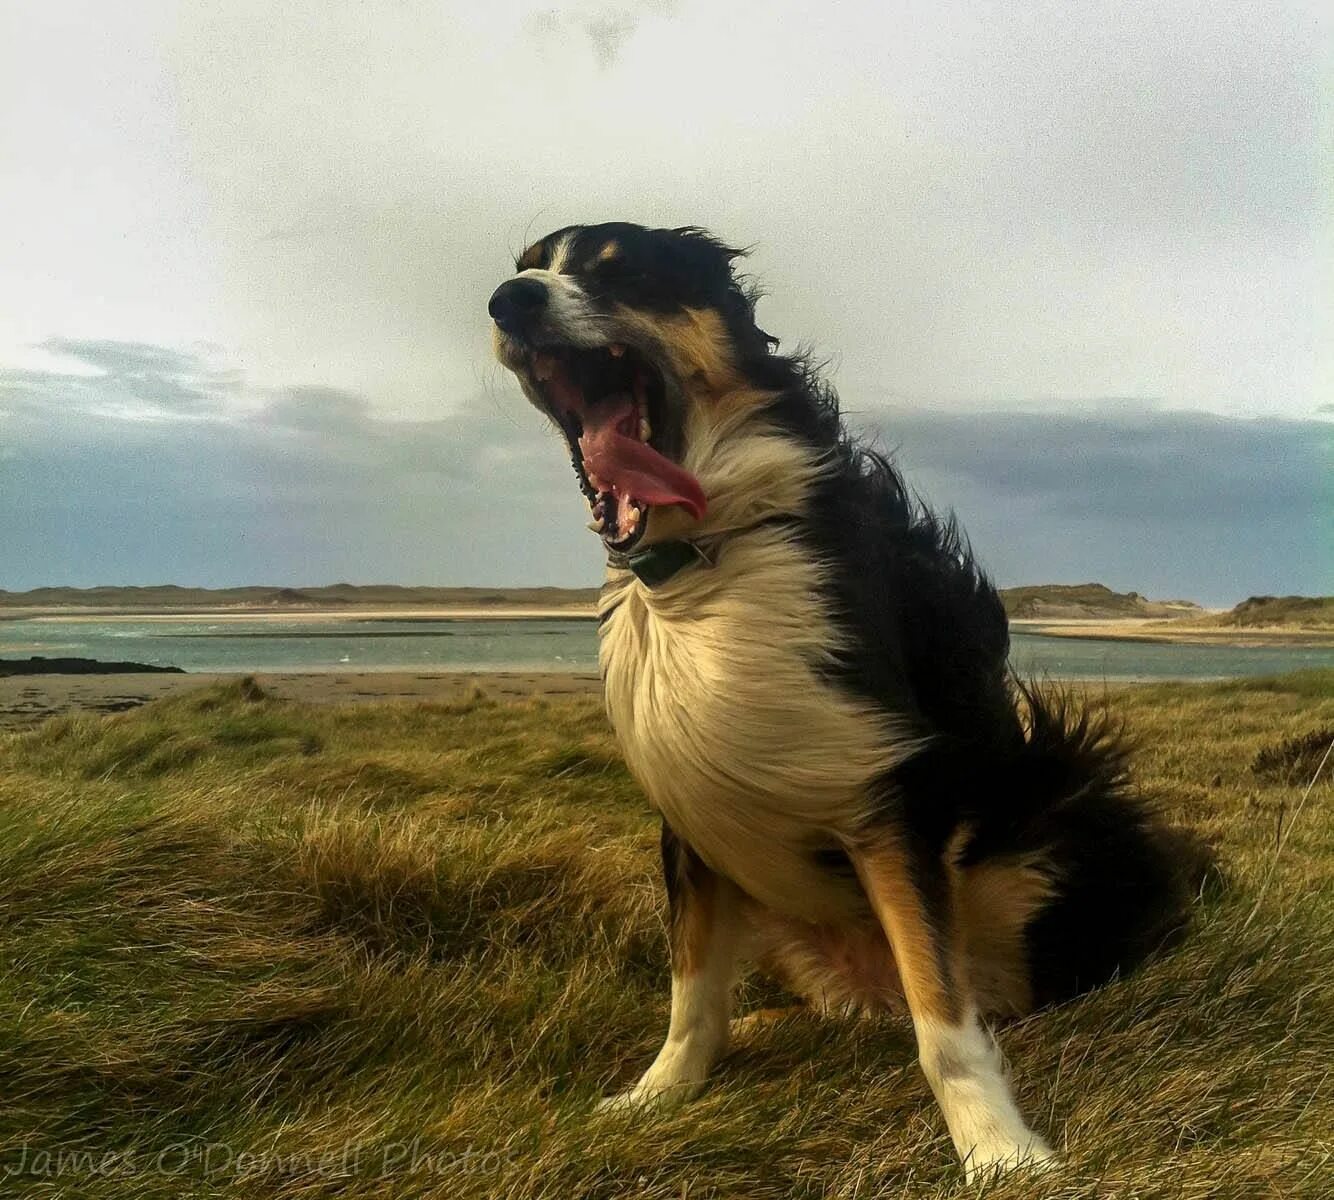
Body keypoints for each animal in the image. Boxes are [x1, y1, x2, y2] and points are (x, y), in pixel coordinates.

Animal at [490, 225, 1200, 1178]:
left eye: (621, 270)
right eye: (530, 265)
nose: (509, 301)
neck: (711, 552)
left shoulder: (887, 805)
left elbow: (947, 1024)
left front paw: (1000, 1151)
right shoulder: (691, 819)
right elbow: (690, 997)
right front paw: (657, 1095)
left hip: (1063, 814)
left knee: (1007, 994)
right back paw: (765, 1023)